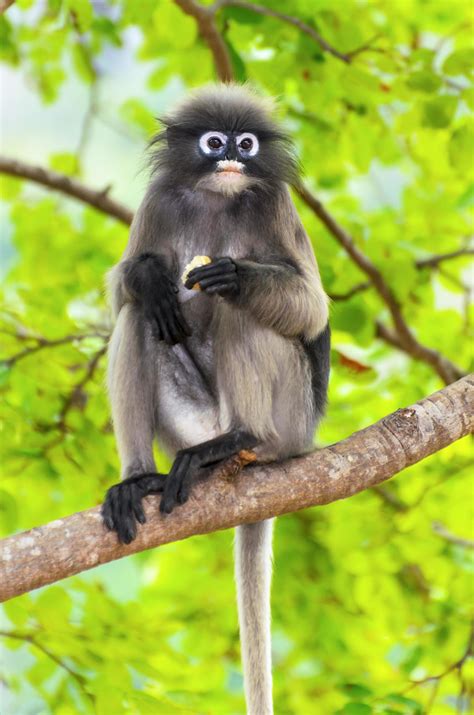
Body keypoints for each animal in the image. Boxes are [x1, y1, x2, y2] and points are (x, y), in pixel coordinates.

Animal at [101, 84, 330, 715]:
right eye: (212, 142)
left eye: (245, 144)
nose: (230, 155)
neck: (216, 198)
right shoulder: (157, 201)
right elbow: (125, 293)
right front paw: (149, 276)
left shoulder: (275, 203)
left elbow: (311, 309)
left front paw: (237, 275)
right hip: (191, 422)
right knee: (140, 317)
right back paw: (138, 478)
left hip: (292, 417)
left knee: (240, 311)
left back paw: (243, 436)